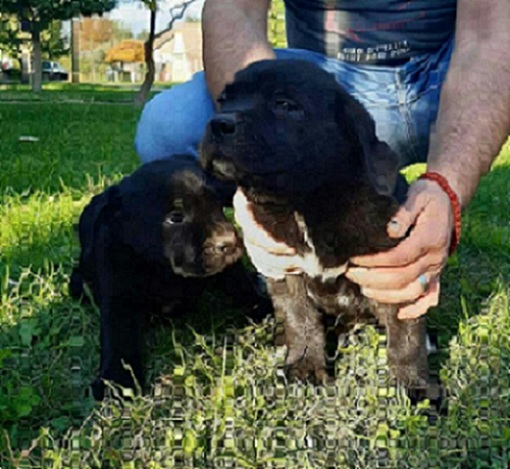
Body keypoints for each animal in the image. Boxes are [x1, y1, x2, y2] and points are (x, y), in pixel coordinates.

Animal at [70, 154, 270, 398]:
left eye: (217, 204)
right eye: (176, 218)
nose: (229, 243)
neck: (163, 270)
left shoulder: (229, 271)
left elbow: (242, 288)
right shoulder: (117, 297)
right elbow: (118, 337)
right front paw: (115, 381)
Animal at [201, 57, 432, 394]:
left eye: (285, 104)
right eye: (223, 100)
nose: (218, 123)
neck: (306, 204)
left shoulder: (396, 272)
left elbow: (406, 334)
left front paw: (414, 386)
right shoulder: (286, 273)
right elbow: (300, 320)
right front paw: (306, 366)